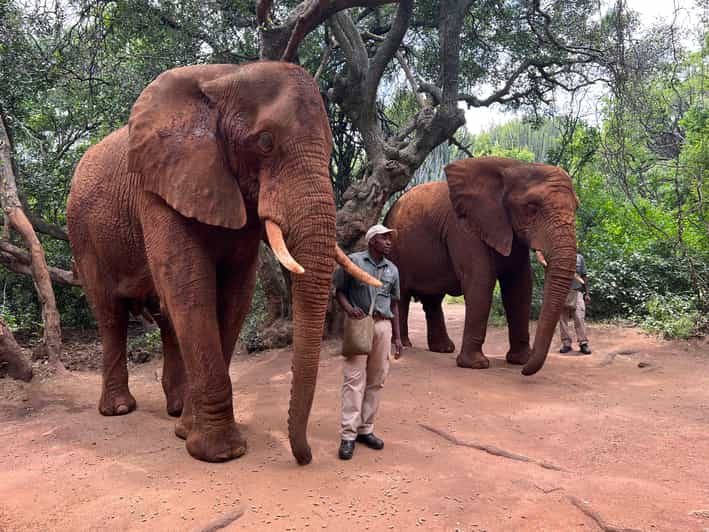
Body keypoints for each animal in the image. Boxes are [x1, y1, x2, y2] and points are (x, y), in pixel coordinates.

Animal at [66, 61, 379, 463]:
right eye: (265, 142)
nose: (306, 456)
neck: (227, 77)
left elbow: (234, 296)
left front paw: (187, 432)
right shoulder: (158, 188)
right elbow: (190, 288)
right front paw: (221, 453)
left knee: (164, 317)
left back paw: (175, 411)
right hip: (82, 233)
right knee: (111, 314)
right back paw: (119, 409)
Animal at [384, 156, 578, 376]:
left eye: (577, 207)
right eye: (532, 207)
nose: (524, 372)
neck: (513, 166)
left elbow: (519, 285)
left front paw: (520, 360)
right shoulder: (463, 228)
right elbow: (481, 280)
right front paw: (476, 365)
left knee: (433, 299)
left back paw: (443, 349)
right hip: (394, 248)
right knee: (402, 295)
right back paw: (404, 346)